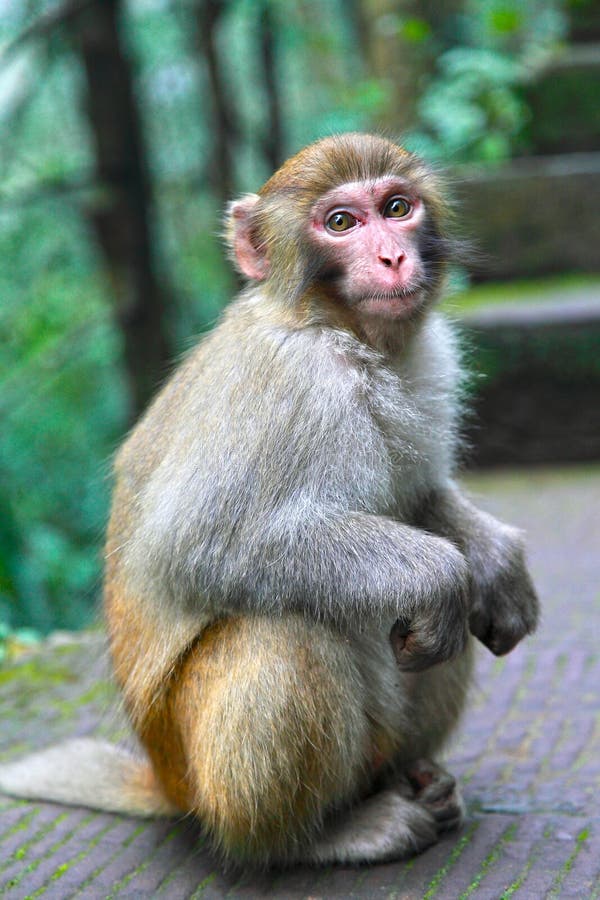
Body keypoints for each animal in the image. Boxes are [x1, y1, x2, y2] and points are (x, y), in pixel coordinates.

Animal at [0, 133, 539, 868]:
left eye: (397, 208)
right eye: (340, 223)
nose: (393, 257)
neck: (342, 333)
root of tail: (169, 785)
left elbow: (417, 496)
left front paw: (494, 562)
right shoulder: (290, 387)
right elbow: (193, 548)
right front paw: (442, 574)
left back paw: (408, 781)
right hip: (203, 770)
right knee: (279, 630)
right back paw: (311, 838)